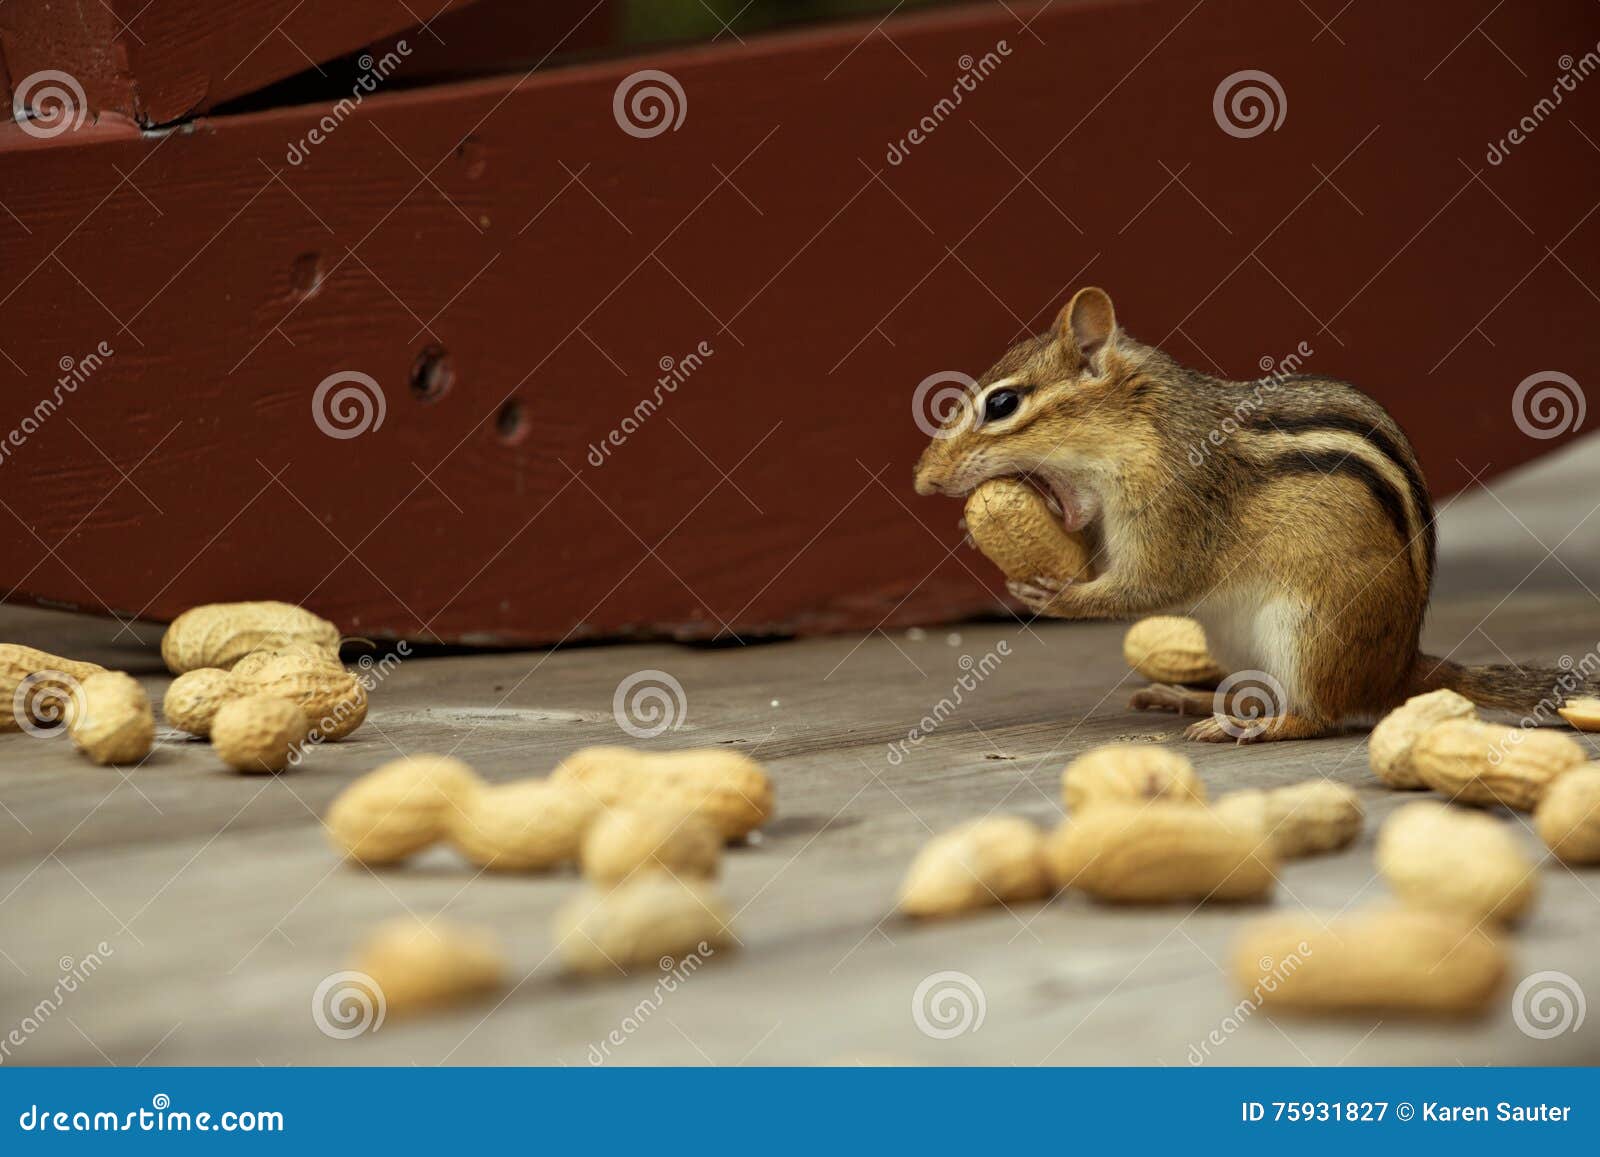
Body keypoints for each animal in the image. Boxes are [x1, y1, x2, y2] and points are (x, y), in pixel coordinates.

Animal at [913, 286, 1588, 743]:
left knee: (1319, 716)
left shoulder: (1177, 507)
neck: (1140, 431)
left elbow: (1152, 584)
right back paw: (1193, 700)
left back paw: (1250, 726)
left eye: (1002, 404)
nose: (925, 479)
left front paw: (1051, 596)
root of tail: (1399, 669)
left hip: (1310, 630)